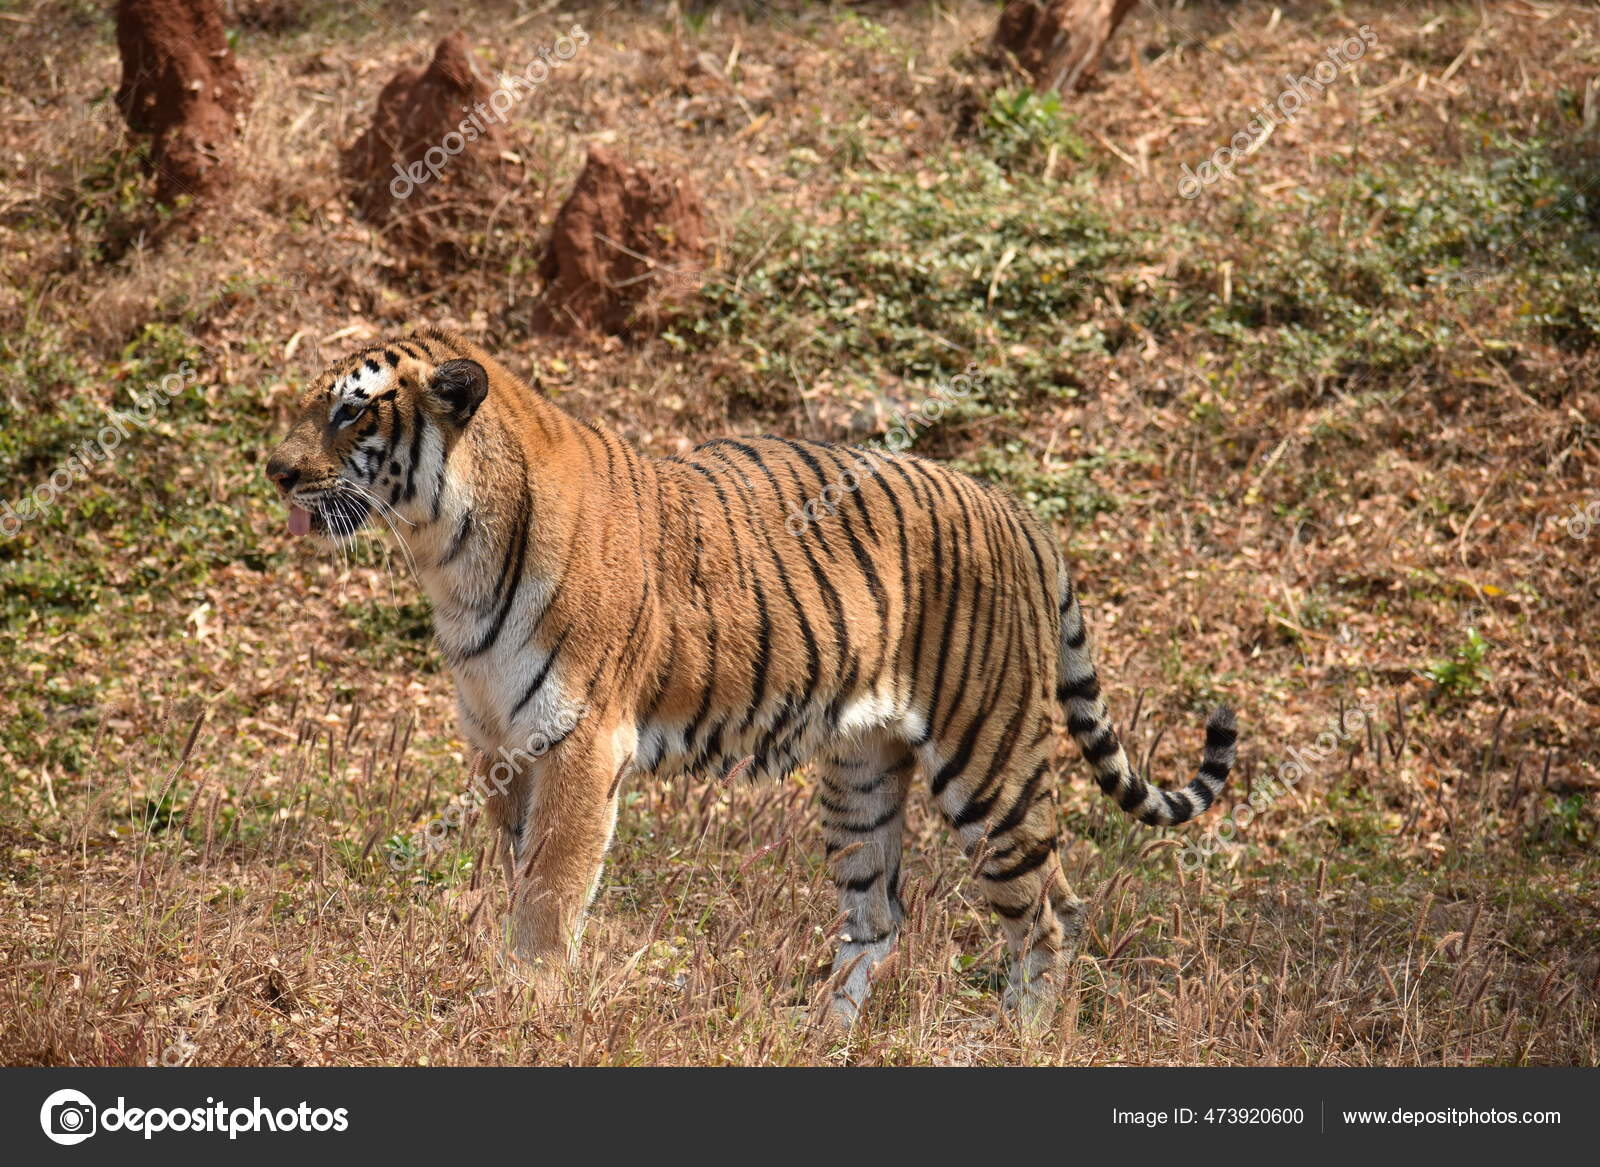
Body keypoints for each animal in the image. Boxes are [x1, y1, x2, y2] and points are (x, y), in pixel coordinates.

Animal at [264, 328, 1238, 1024]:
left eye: (351, 413)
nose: (274, 470)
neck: (446, 549)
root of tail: (1021, 512)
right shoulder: (496, 740)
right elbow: (516, 866)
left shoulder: (580, 738)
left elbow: (550, 885)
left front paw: (524, 998)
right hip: (860, 775)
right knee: (878, 915)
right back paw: (819, 1039)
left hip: (986, 758)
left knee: (1050, 911)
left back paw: (1013, 1041)